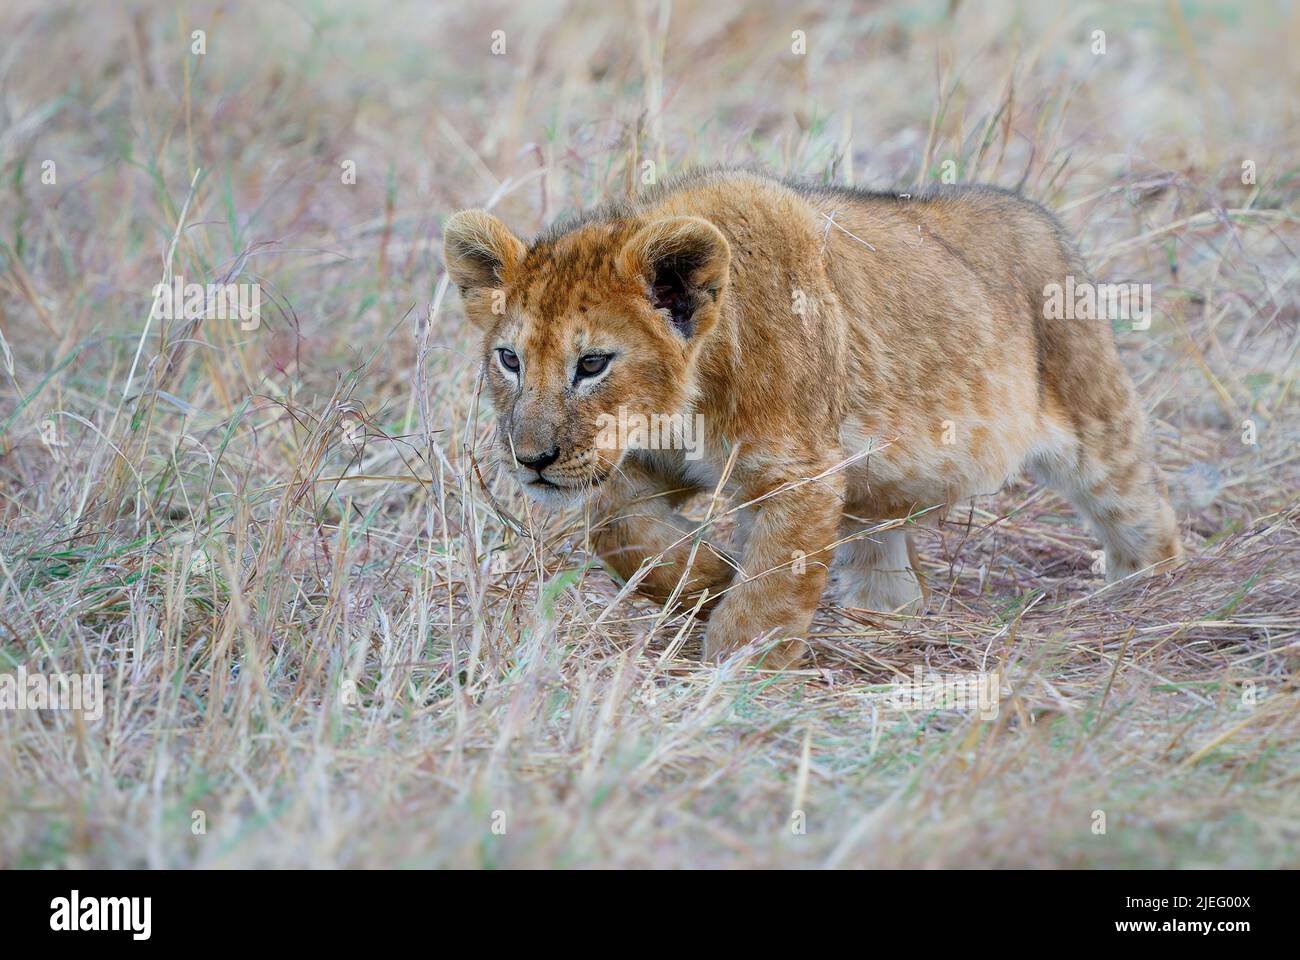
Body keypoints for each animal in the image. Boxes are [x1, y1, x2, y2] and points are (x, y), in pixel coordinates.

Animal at [443, 168, 1183, 668]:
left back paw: (1154, 605)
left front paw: (735, 671)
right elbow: (613, 527)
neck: (695, 394)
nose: (532, 460)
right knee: (888, 571)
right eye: (509, 359)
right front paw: (706, 577)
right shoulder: (655, 459)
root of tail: (1041, 217)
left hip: (1096, 418)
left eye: (593, 364)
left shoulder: (798, 472)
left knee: (1144, 518)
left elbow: (773, 588)